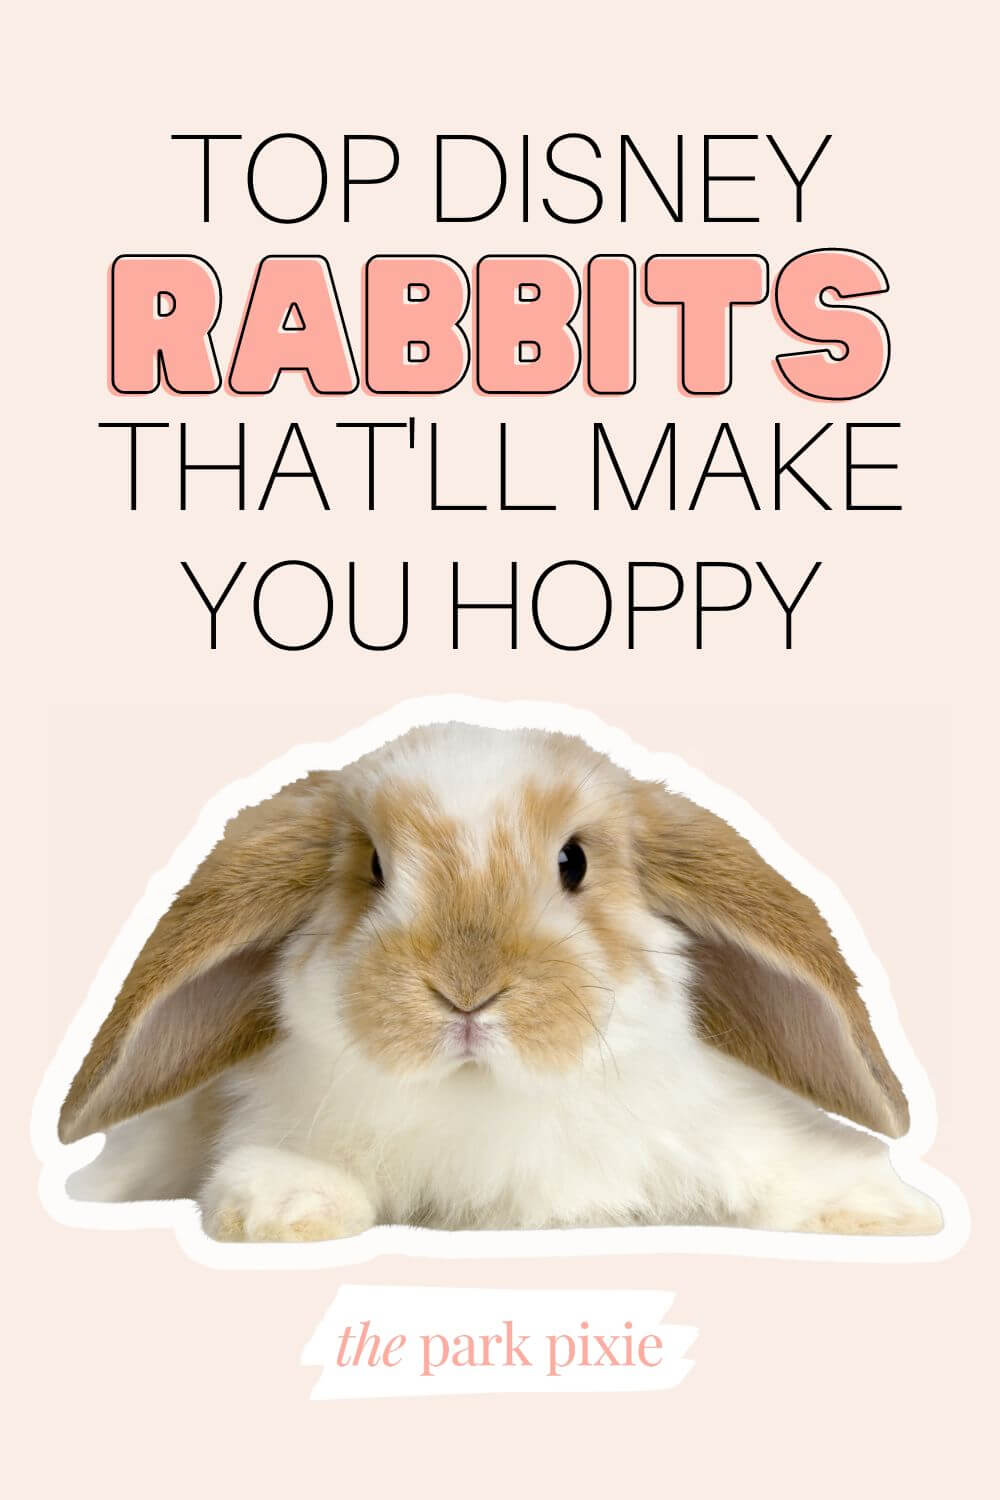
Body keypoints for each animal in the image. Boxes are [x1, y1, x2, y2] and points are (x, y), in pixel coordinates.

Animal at [61, 722, 941, 1241]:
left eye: (574, 861)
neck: (488, 1095)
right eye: (373, 868)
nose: (467, 991)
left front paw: (888, 1208)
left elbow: (786, 1164)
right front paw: (285, 1207)